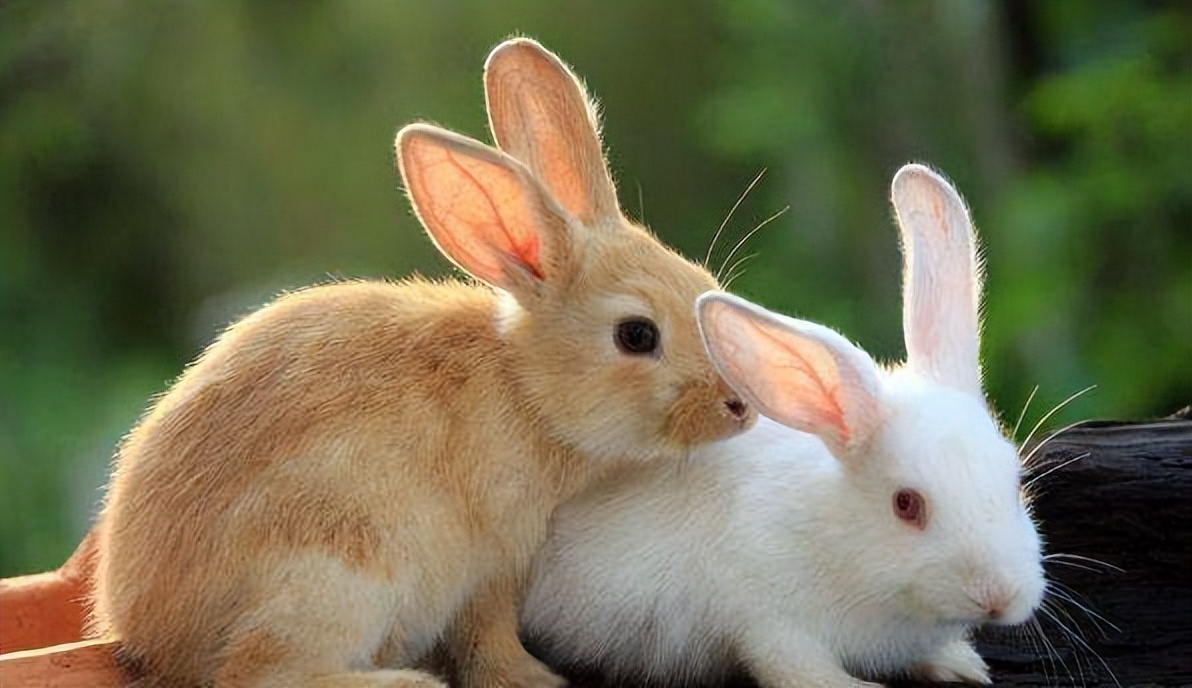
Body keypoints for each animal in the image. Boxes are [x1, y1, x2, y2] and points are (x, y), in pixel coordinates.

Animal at [91, 37, 754, 688]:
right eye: (637, 335)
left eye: (702, 283)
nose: (739, 405)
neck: (526, 390)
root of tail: (154, 642)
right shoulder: (494, 559)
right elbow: (488, 636)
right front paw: (534, 678)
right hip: (339, 567)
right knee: (258, 671)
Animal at [522, 164, 1047, 688]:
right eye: (906, 504)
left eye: (1017, 485)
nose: (999, 597)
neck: (839, 536)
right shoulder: (769, 624)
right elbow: (799, 669)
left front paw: (962, 666)